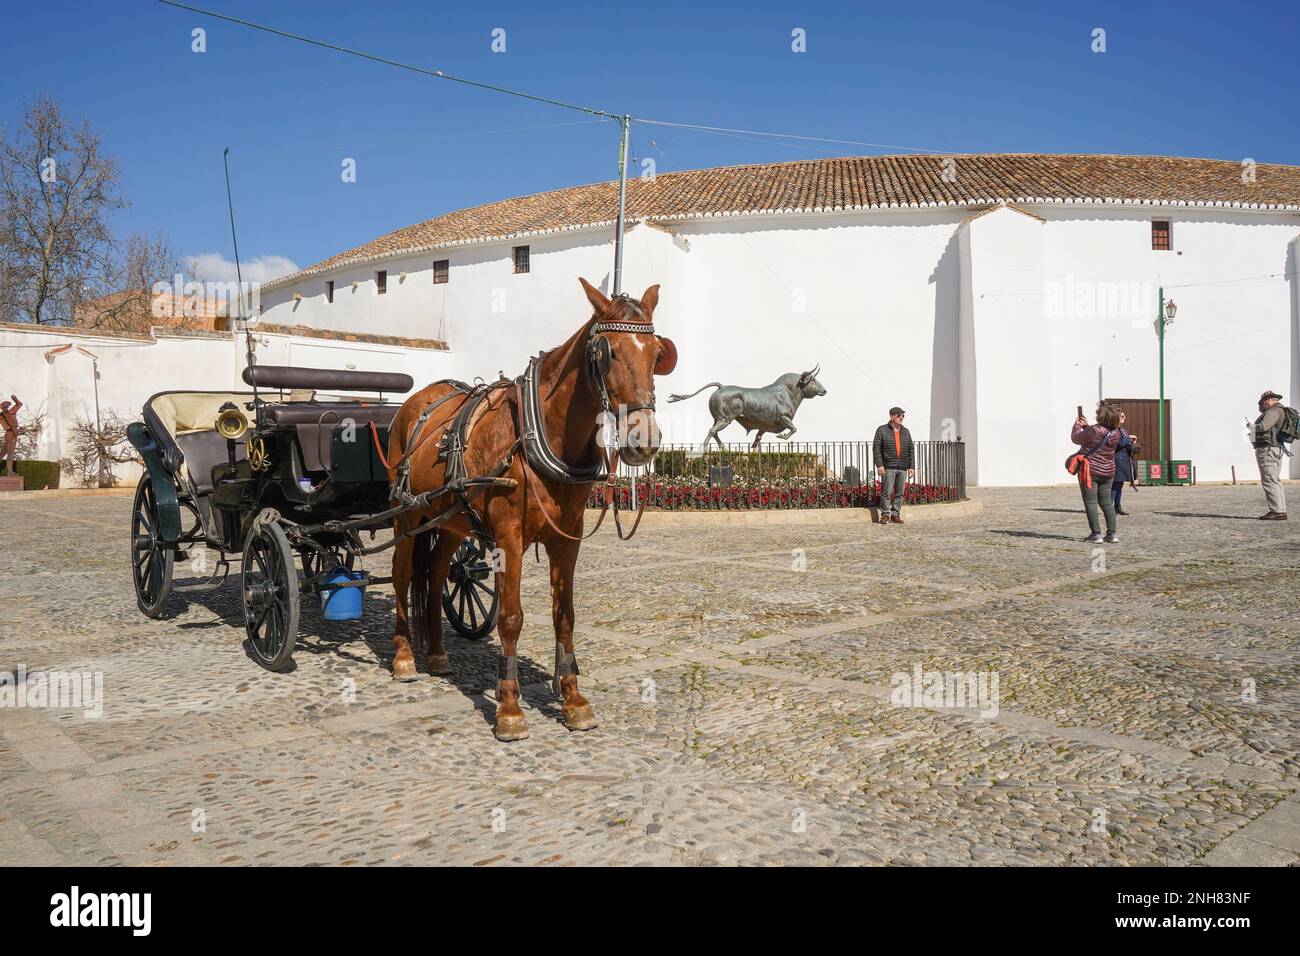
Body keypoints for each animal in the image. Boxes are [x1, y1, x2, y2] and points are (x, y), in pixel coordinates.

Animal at [385, 278, 675, 741]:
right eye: (607, 351)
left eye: (656, 352)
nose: (642, 439)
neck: (542, 433)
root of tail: (416, 402)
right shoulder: (509, 538)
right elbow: (511, 617)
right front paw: (508, 707)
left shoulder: (567, 539)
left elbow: (565, 616)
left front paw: (573, 699)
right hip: (406, 513)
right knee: (403, 573)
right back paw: (404, 657)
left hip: (450, 522)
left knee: (435, 575)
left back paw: (437, 654)